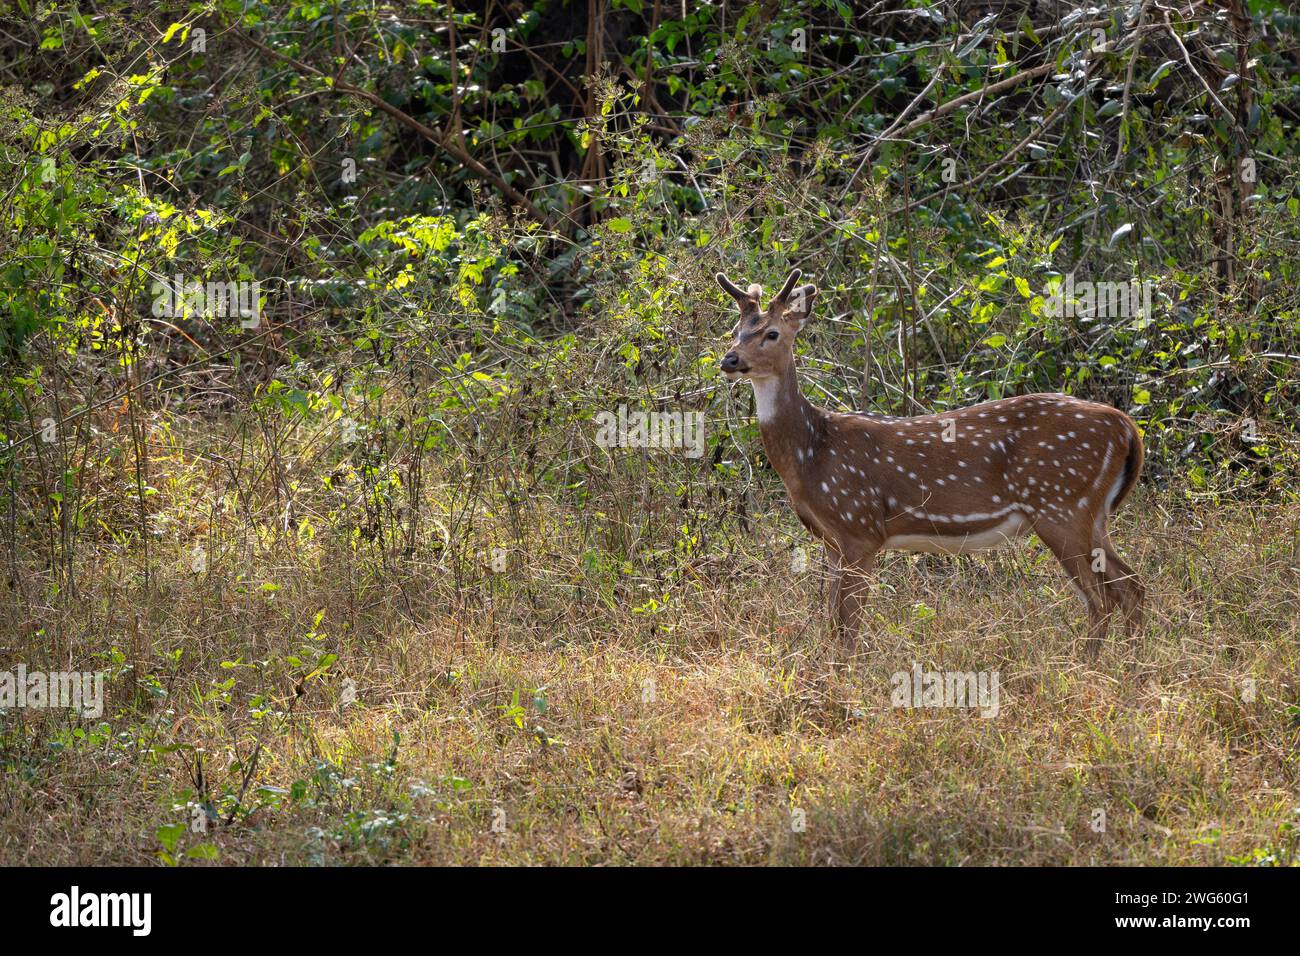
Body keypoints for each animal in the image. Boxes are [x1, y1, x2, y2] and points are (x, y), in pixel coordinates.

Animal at [717, 267, 1145, 660]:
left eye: (772, 333)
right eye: (736, 329)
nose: (729, 360)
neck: (811, 453)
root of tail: (1126, 427)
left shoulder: (861, 527)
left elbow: (849, 625)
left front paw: (842, 678)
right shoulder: (833, 541)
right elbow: (833, 622)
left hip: (1060, 503)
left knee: (1102, 599)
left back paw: (1085, 668)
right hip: (1091, 514)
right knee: (1133, 586)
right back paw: (1129, 667)